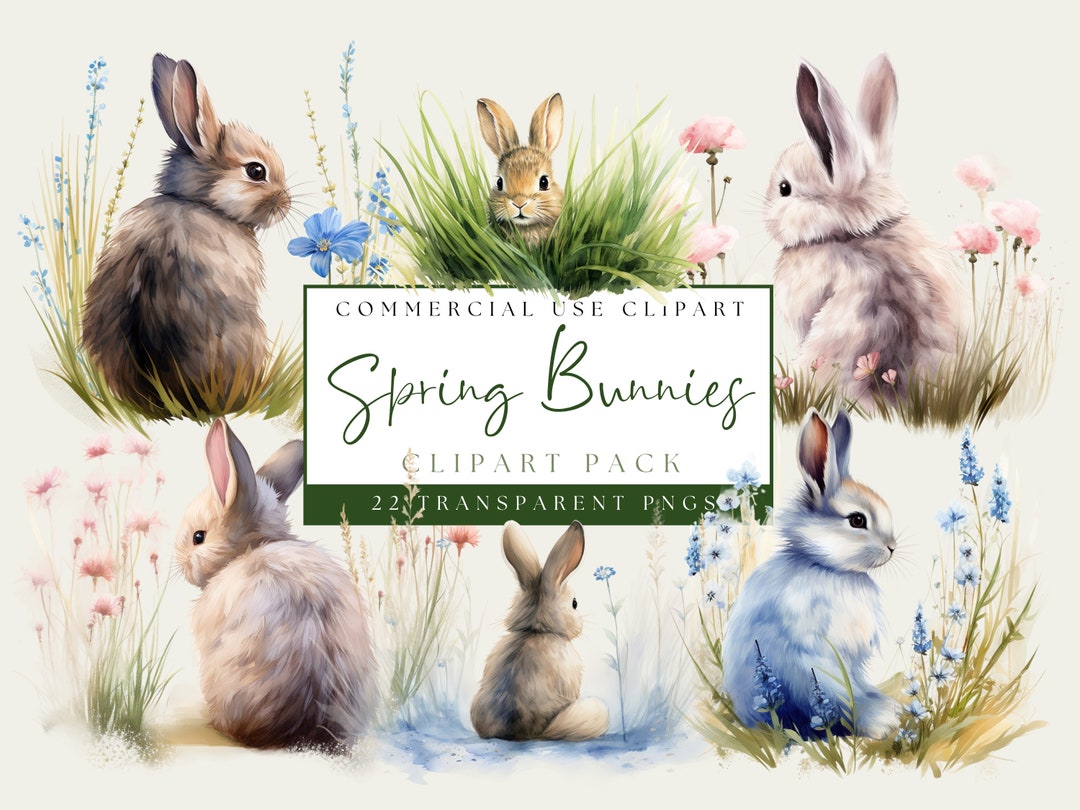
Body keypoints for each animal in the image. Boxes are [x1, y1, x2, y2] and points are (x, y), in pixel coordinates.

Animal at [721, 408, 898, 739]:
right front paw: (878, 721)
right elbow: (839, 693)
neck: (827, 567)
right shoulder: (813, 655)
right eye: (857, 520)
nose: (892, 548)